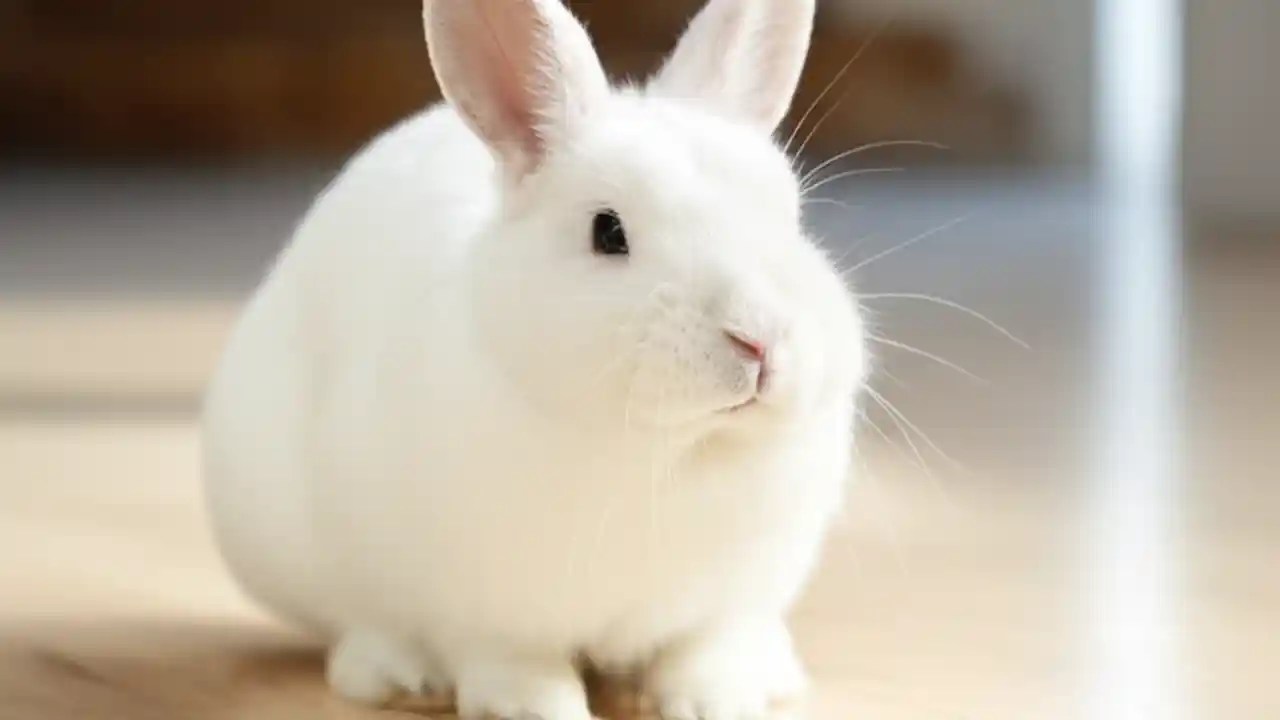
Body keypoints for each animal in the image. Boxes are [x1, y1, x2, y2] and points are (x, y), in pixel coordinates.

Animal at [202, 0, 866, 718]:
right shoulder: (478, 602)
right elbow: (509, 657)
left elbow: (703, 646)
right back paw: (399, 677)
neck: (669, 452)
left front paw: (715, 701)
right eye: (608, 232)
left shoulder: (731, 597)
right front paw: (533, 707)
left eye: (790, 221)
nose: (759, 338)